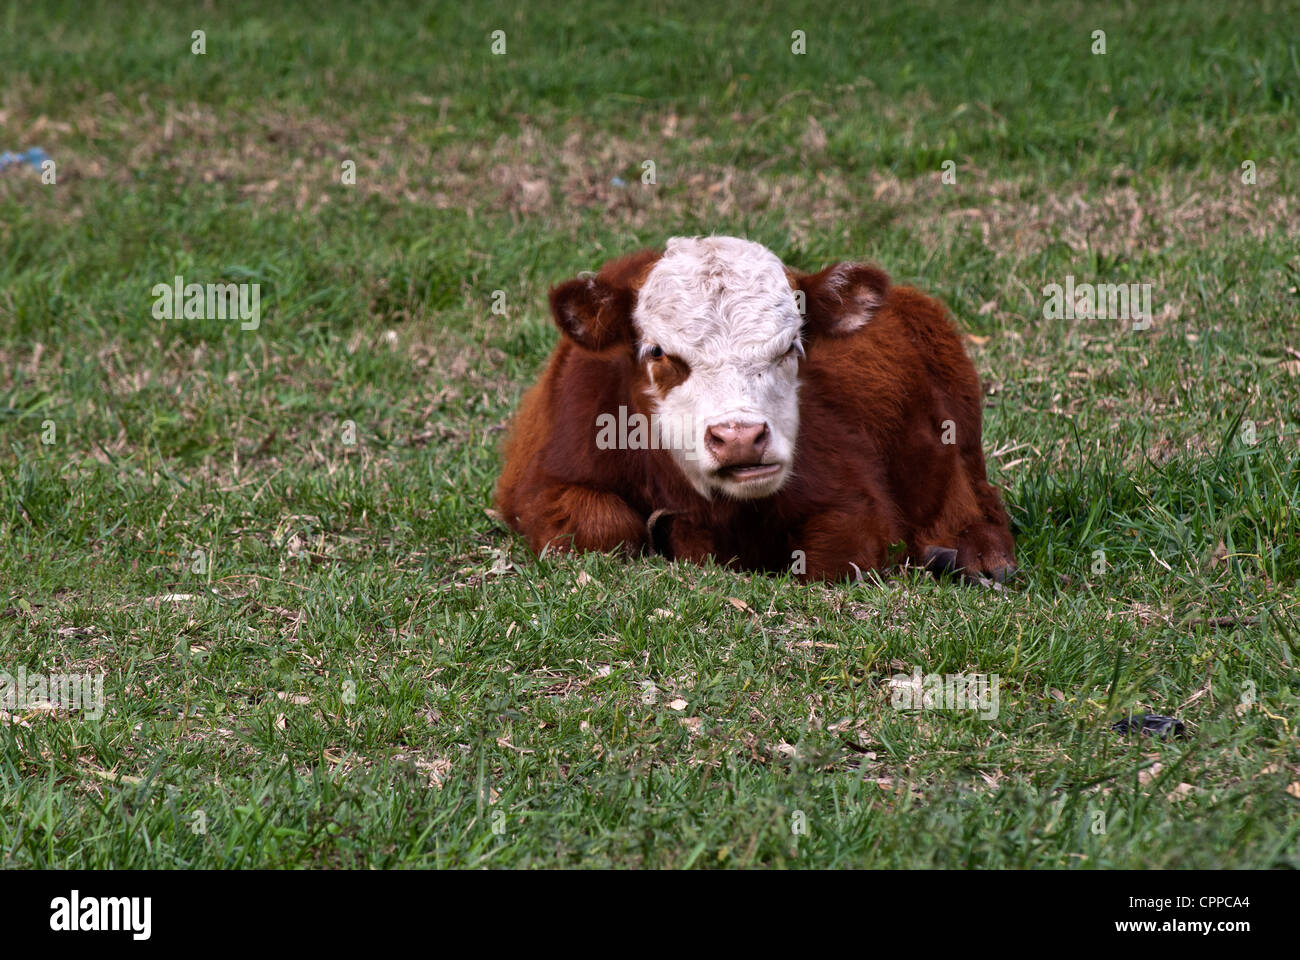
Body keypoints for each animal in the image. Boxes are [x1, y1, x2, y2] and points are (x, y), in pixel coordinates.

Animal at [495, 236, 1015, 583]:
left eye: (790, 348)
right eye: (659, 352)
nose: (739, 437)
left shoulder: (855, 502)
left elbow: (837, 556)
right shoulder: (543, 484)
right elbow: (602, 524)